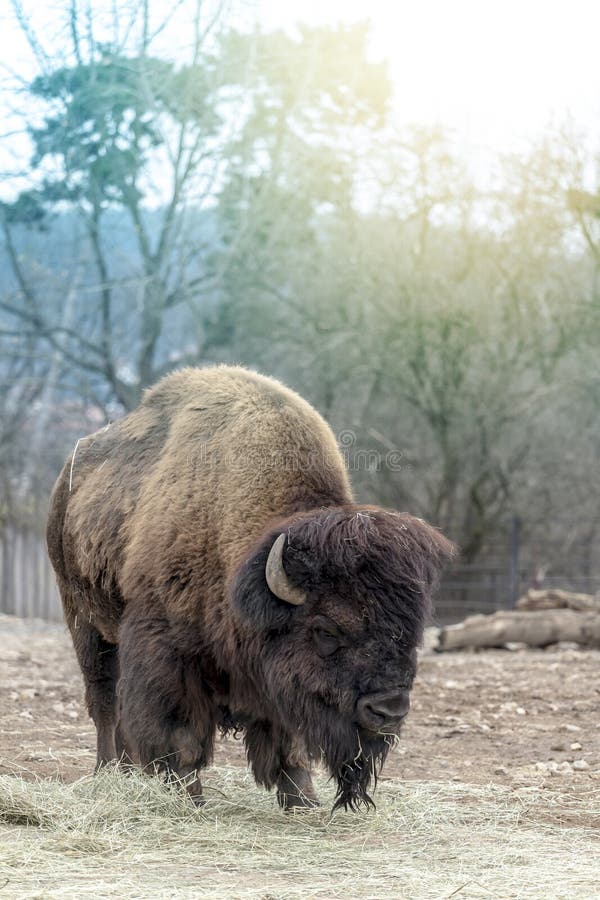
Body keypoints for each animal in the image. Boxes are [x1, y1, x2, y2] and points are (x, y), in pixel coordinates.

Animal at [47, 366, 455, 812]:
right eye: (326, 630)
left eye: (412, 634)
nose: (389, 711)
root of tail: (66, 481)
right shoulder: (167, 653)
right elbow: (181, 736)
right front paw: (189, 796)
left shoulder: (278, 682)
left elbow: (288, 740)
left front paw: (301, 798)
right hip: (83, 620)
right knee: (105, 699)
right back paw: (109, 771)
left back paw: (127, 772)